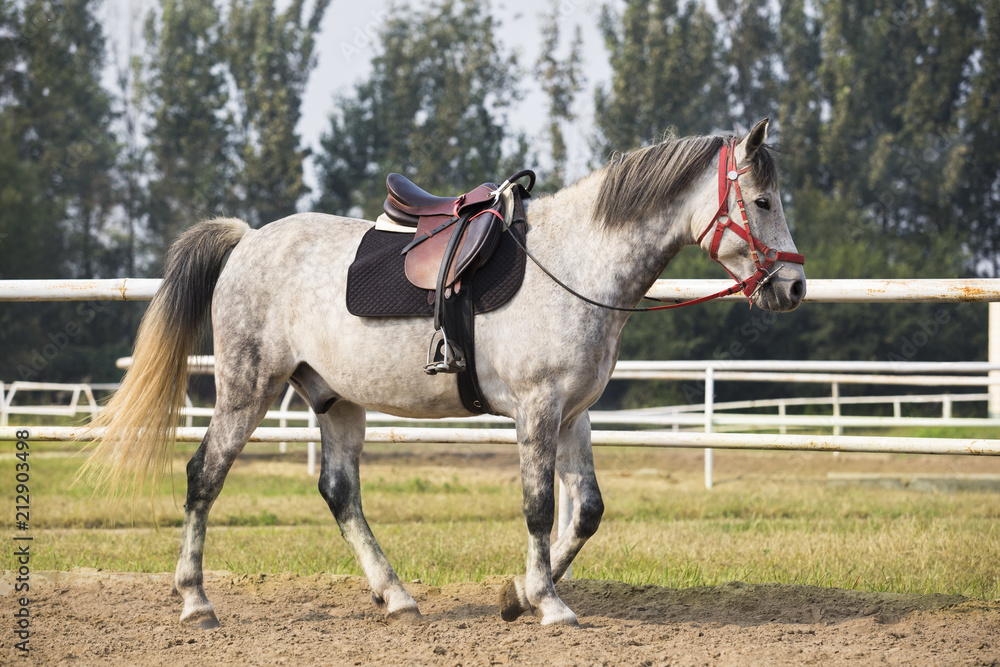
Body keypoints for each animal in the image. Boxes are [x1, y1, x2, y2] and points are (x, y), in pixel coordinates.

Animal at [84, 118, 805, 628]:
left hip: (336, 401)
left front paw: (519, 594)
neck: (578, 263)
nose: (793, 287)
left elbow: (587, 512)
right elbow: (540, 506)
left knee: (340, 492)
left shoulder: (573, 415)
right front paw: (548, 604)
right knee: (203, 475)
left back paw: (396, 595)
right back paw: (195, 600)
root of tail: (247, 240)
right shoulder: (537, 410)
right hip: (246, 388)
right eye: (763, 200)